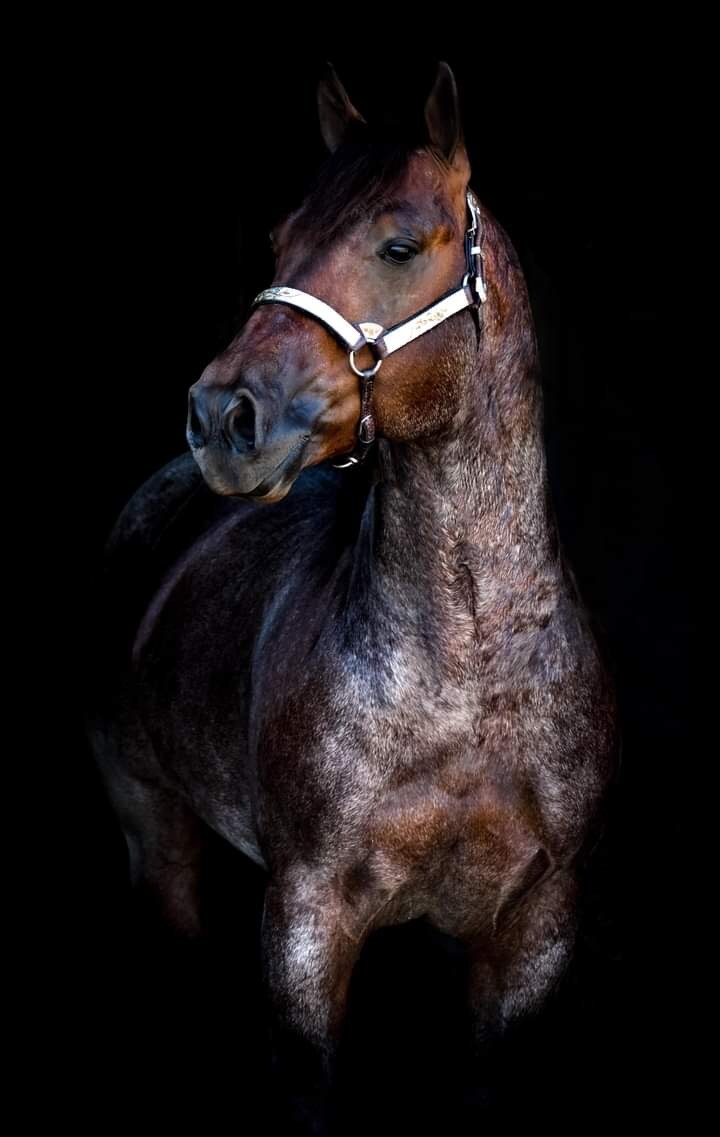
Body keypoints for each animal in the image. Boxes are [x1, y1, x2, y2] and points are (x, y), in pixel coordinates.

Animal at [85, 62, 619, 1131]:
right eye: (279, 240)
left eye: (399, 244)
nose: (222, 414)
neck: (465, 671)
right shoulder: (304, 923)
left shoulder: (534, 931)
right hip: (154, 831)